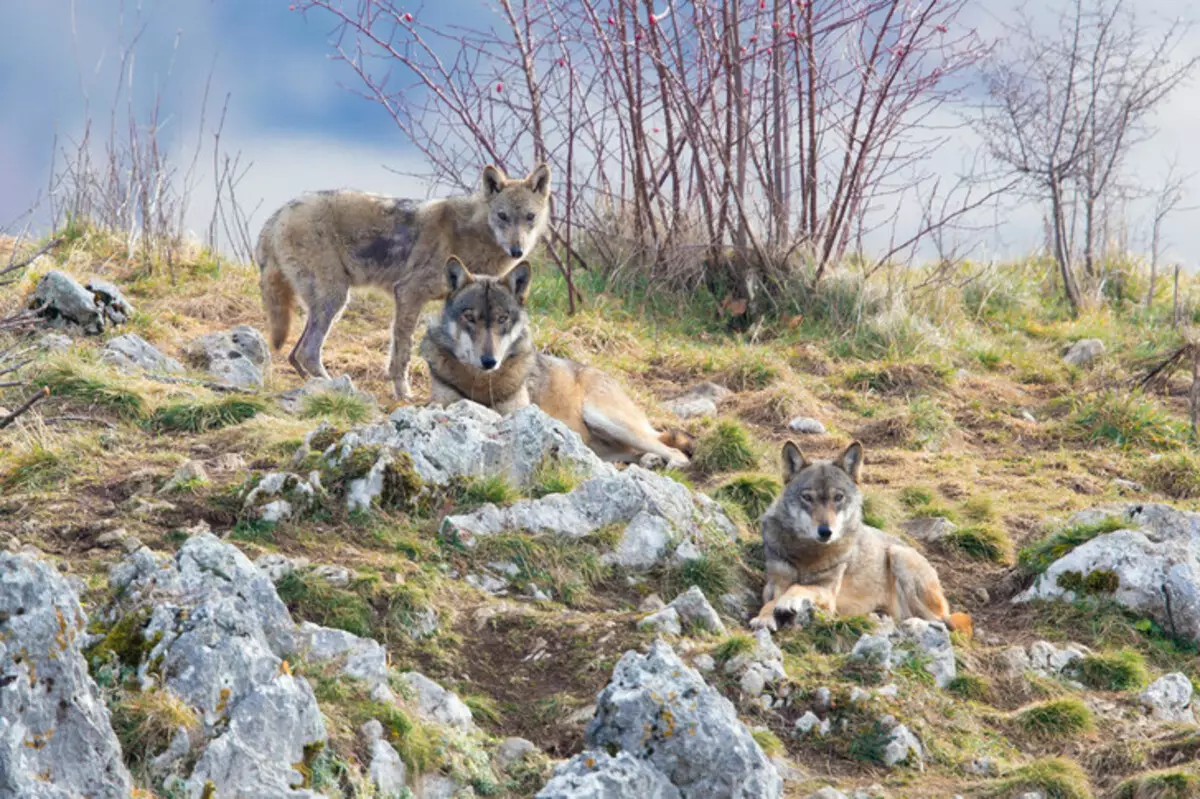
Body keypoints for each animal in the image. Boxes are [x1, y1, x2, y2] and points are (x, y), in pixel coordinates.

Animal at [258, 163, 552, 398]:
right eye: (503, 216)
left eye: (530, 217)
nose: (517, 251)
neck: (470, 235)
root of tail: (276, 216)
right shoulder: (409, 293)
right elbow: (403, 352)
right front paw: (403, 394)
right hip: (335, 300)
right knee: (307, 352)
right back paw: (343, 390)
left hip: (327, 305)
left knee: (294, 354)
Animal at [417, 255, 696, 467]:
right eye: (469, 317)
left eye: (502, 318)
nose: (489, 361)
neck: (479, 383)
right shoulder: (443, 402)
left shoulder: (516, 410)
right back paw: (649, 461)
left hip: (605, 417)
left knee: (676, 451)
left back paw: (666, 463)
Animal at [748, 439, 974, 633]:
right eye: (807, 498)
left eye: (838, 497)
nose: (825, 531)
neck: (808, 554)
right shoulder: (774, 584)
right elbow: (770, 601)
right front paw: (764, 617)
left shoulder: (827, 591)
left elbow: (799, 587)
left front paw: (786, 602)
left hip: (899, 556)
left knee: (942, 622)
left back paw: (914, 624)